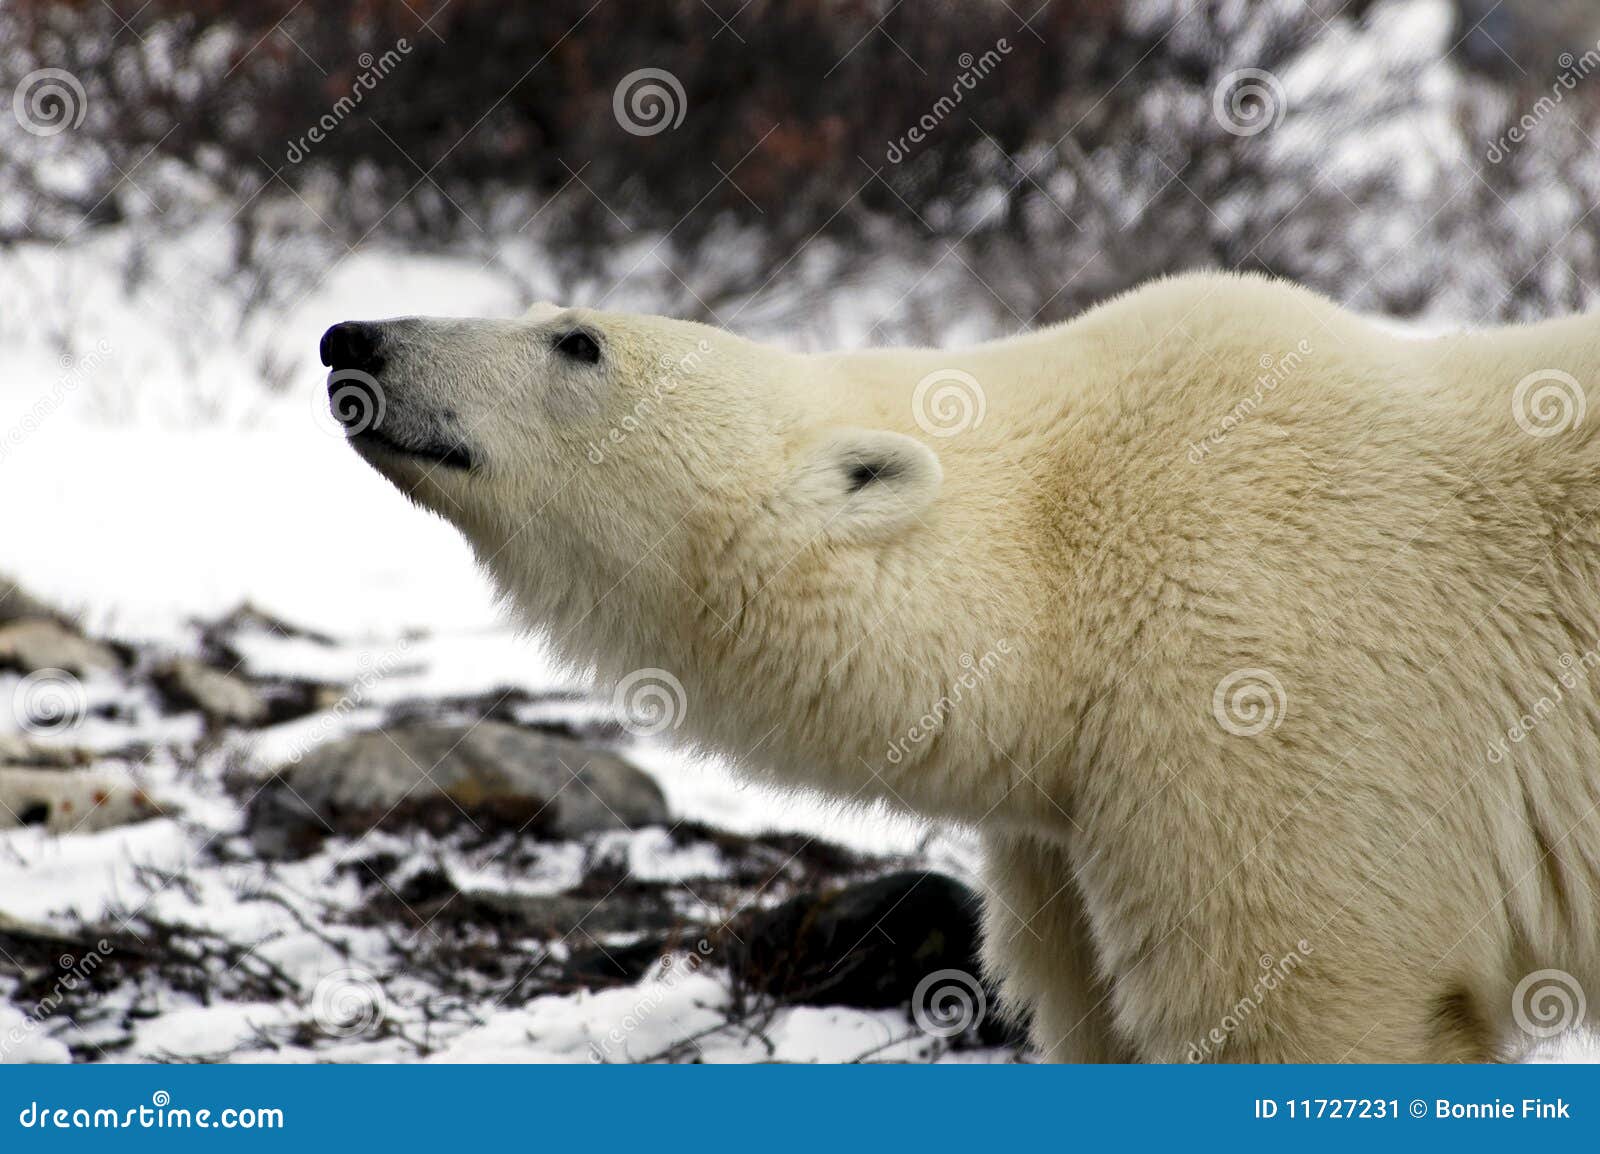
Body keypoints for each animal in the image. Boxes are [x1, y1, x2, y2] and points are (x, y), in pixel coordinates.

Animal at [322, 271, 1600, 1062]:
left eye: (576, 338)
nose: (353, 337)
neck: (1060, 567)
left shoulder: (1270, 714)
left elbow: (1298, 1008)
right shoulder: (1072, 823)